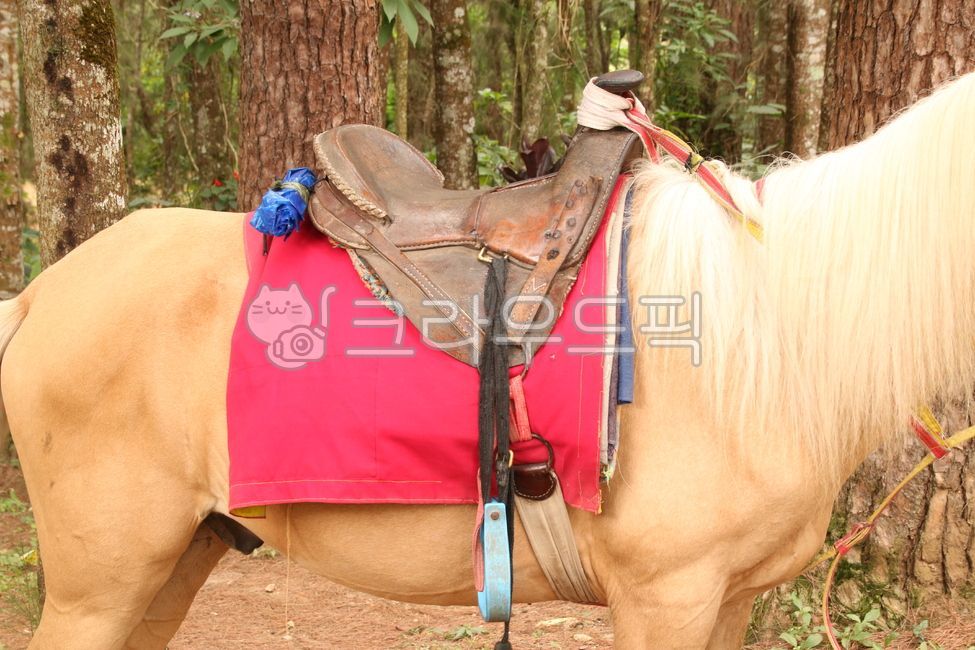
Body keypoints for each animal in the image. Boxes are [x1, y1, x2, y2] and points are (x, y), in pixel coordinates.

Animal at [5, 71, 975, 649]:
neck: (768, 339)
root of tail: (38, 294)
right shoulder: (667, 597)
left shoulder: (728, 601)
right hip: (99, 585)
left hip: (175, 561)